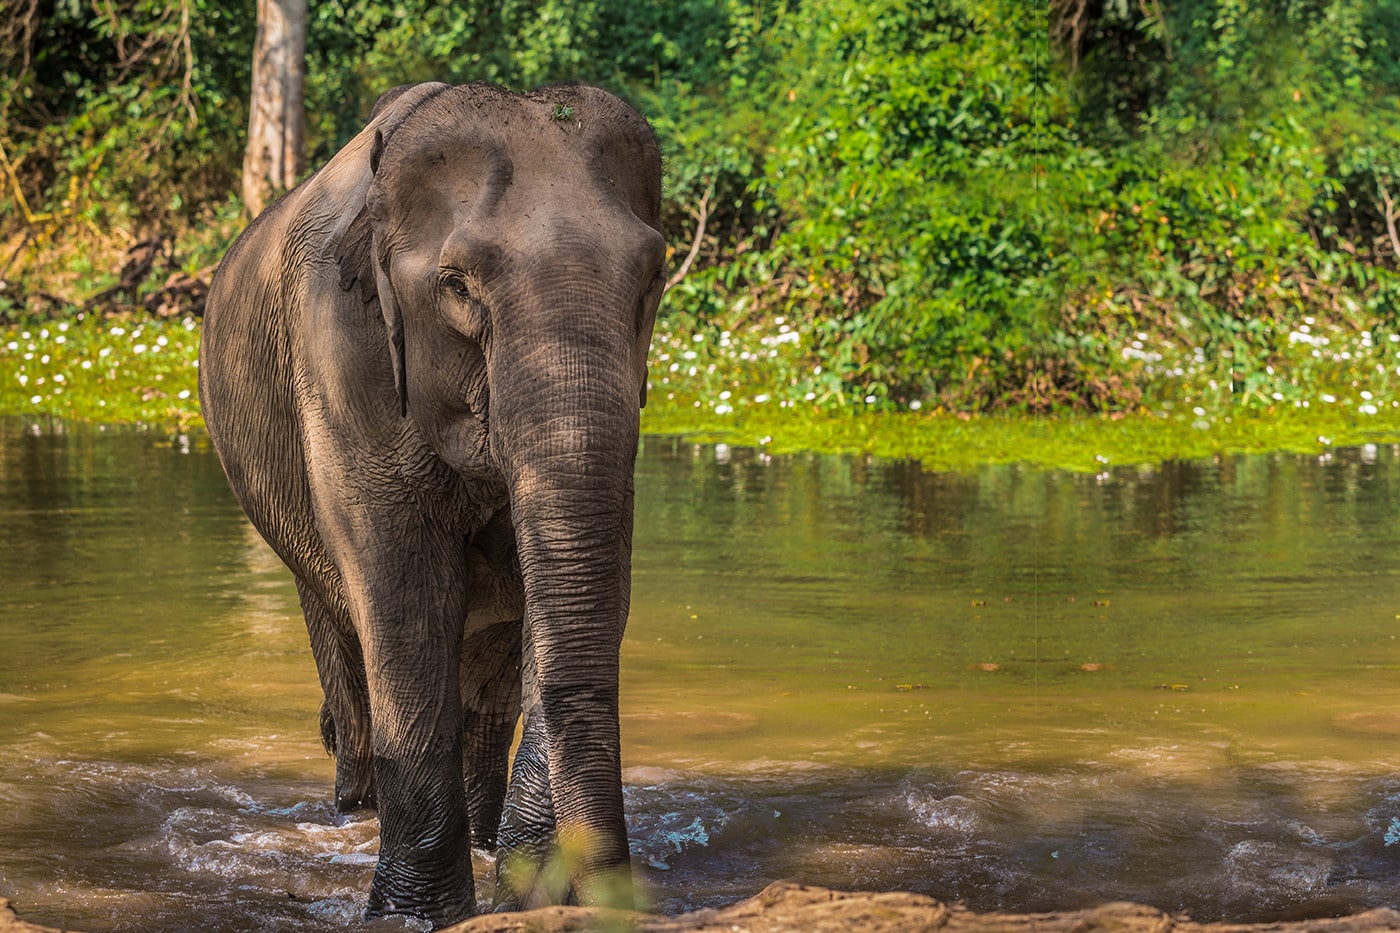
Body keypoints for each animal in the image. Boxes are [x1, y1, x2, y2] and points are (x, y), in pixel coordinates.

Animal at [199, 81, 665, 927]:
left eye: (654, 275)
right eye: (456, 285)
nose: (621, 897)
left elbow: (581, 585)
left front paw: (521, 892)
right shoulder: (344, 361)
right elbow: (403, 591)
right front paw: (416, 914)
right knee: (345, 644)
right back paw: (352, 818)